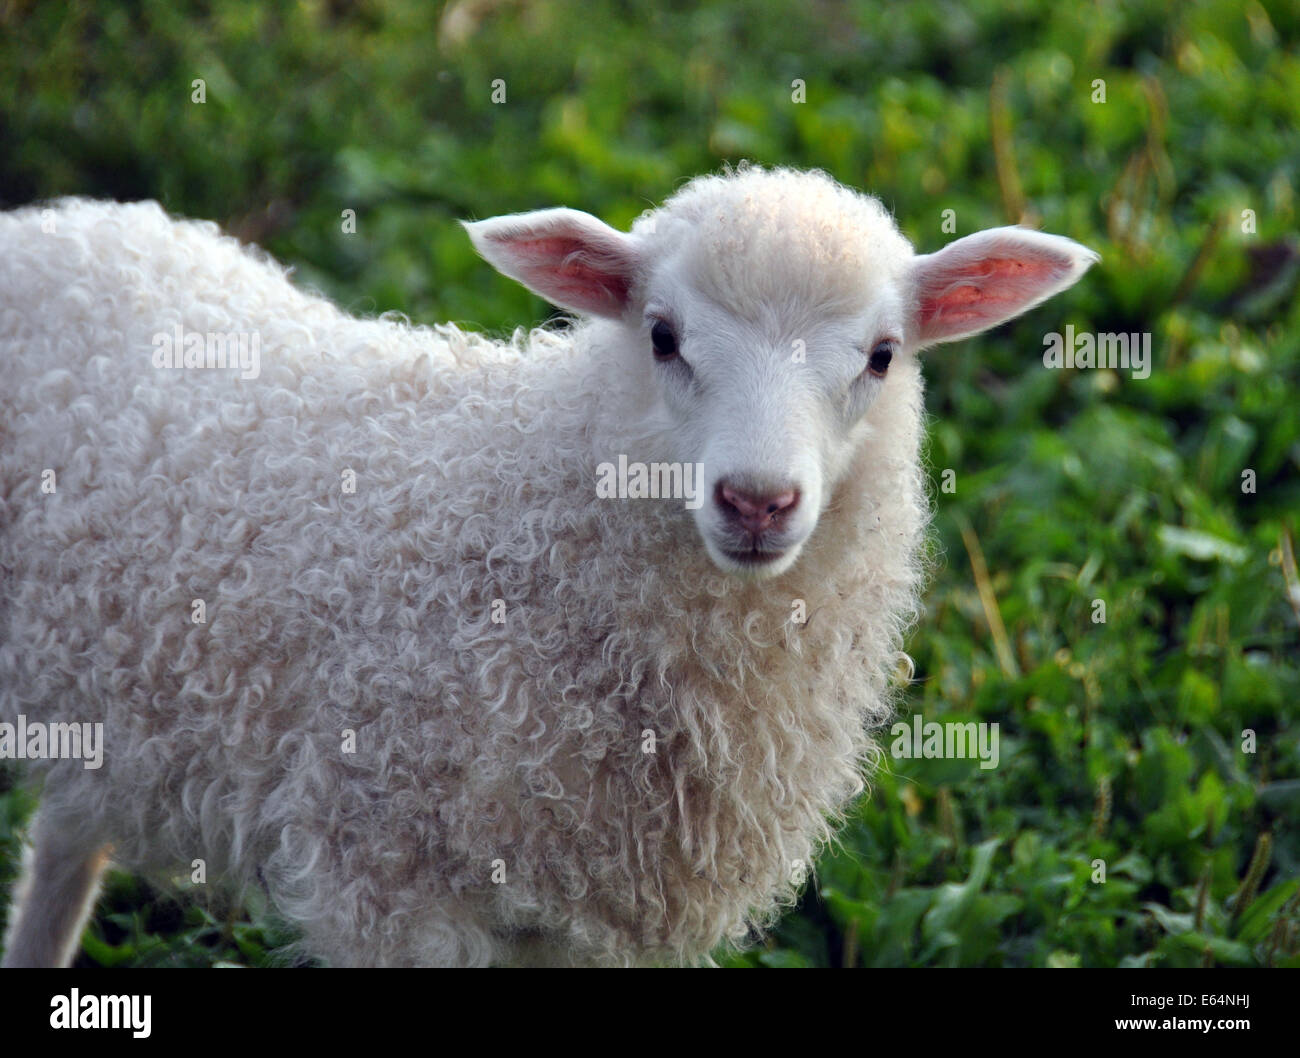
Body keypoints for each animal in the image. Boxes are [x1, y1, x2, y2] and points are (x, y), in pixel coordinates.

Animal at [0, 165, 1097, 967]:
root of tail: (66, 223)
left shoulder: (592, 918)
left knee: (64, 835)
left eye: (881, 354)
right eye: (662, 336)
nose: (756, 501)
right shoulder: (382, 877)